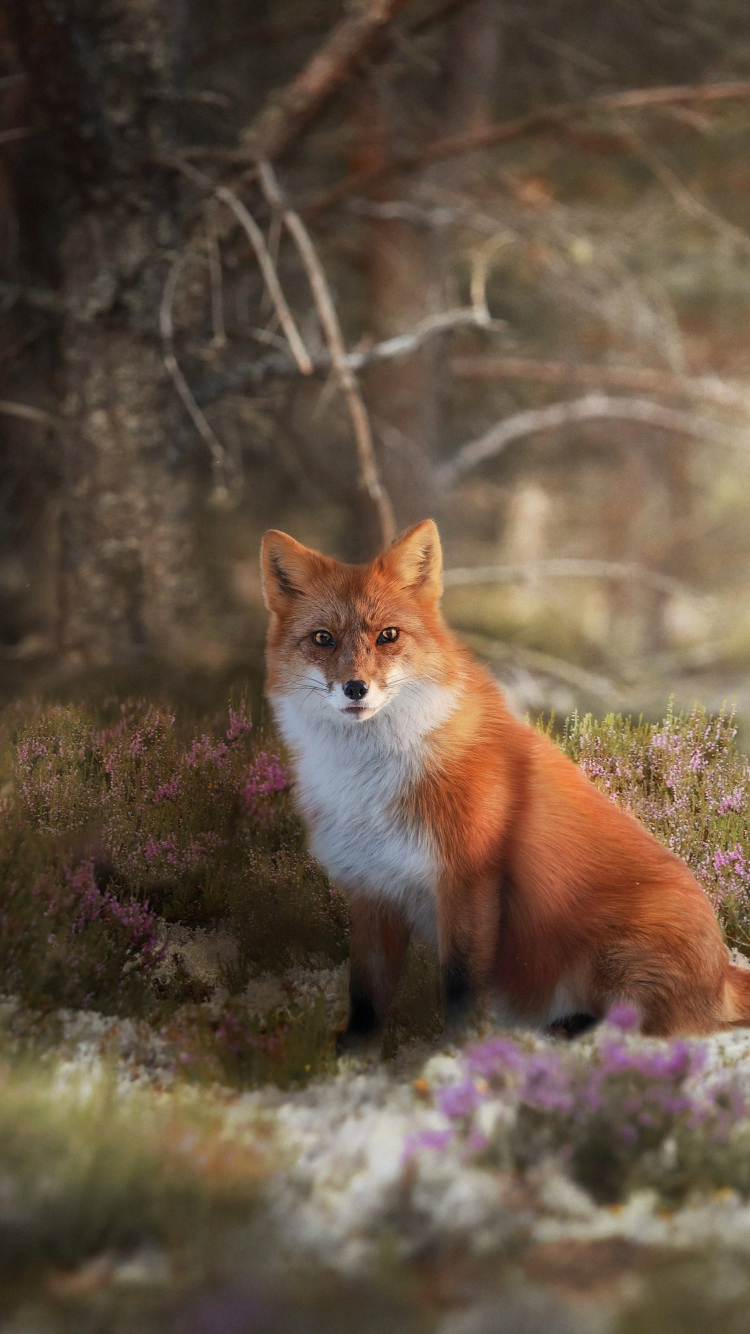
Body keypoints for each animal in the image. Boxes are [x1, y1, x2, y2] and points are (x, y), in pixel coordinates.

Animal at [260, 518, 750, 1046]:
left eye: (388, 635)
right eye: (323, 639)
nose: (356, 688)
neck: (369, 782)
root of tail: (722, 971)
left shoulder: (468, 877)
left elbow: (461, 984)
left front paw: (452, 1051)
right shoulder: (371, 887)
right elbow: (367, 993)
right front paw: (354, 1053)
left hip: (611, 958)